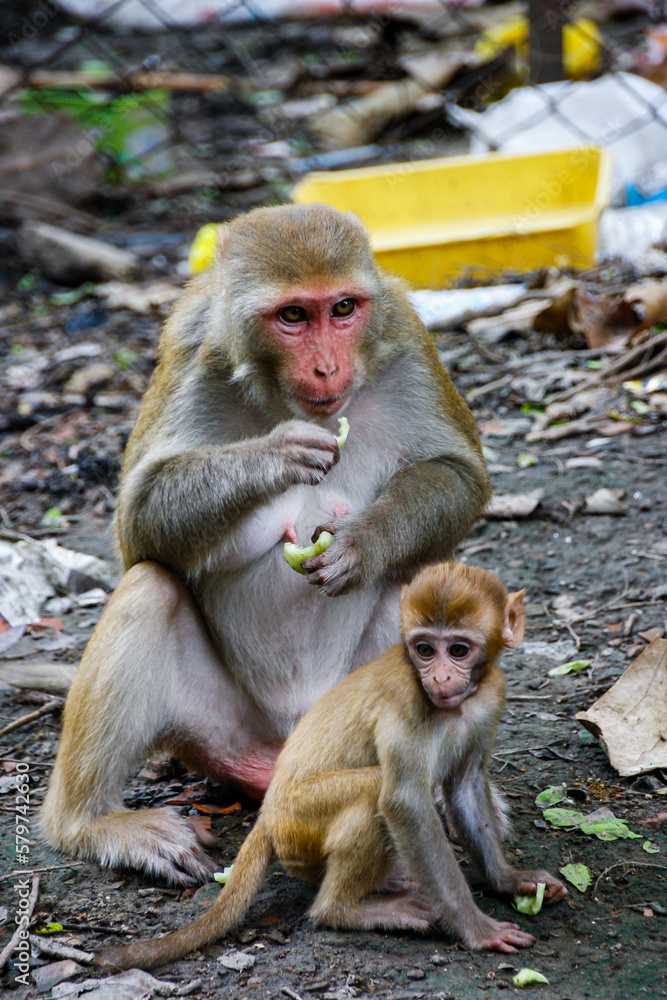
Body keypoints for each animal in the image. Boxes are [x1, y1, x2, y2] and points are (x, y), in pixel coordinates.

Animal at [41, 203, 492, 886]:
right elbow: (137, 521)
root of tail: (288, 741)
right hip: (217, 730)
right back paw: (90, 824)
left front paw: (362, 544)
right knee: (148, 587)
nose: (328, 367)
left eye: (343, 308)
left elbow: (459, 475)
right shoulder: (194, 354)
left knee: (420, 577)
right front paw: (277, 452)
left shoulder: (407, 338)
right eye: (293, 316)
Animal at [96, 562, 566, 972]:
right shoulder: (406, 699)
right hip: (298, 822)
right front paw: (475, 927)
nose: (440, 678)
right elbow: (404, 803)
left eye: (459, 649)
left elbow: (466, 787)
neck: (460, 704)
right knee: (372, 791)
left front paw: (510, 880)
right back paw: (345, 910)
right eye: (424, 649)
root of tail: (268, 814)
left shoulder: (492, 696)